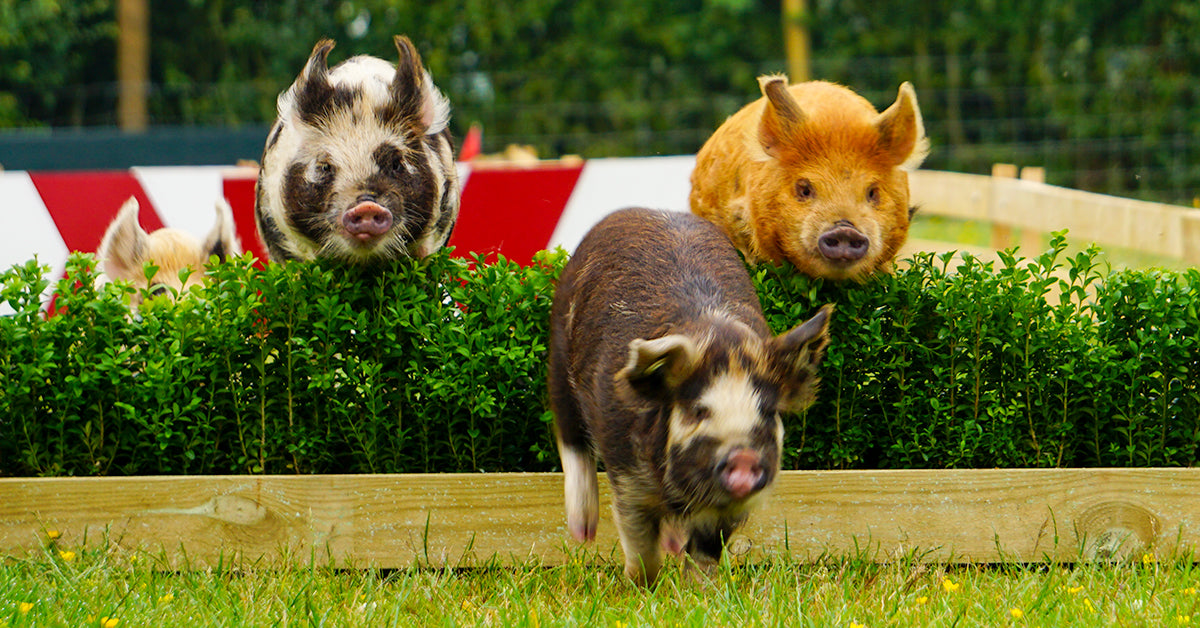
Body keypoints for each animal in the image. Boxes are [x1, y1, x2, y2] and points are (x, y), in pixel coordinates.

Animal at [548, 207, 832, 585]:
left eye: (767, 412)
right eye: (698, 411)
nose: (744, 457)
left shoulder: (726, 510)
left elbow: (706, 549)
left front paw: (701, 590)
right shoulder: (627, 472)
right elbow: (638, 540)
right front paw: (641, 587)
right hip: (559, 356)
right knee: (570, 437)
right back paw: (583, 533)